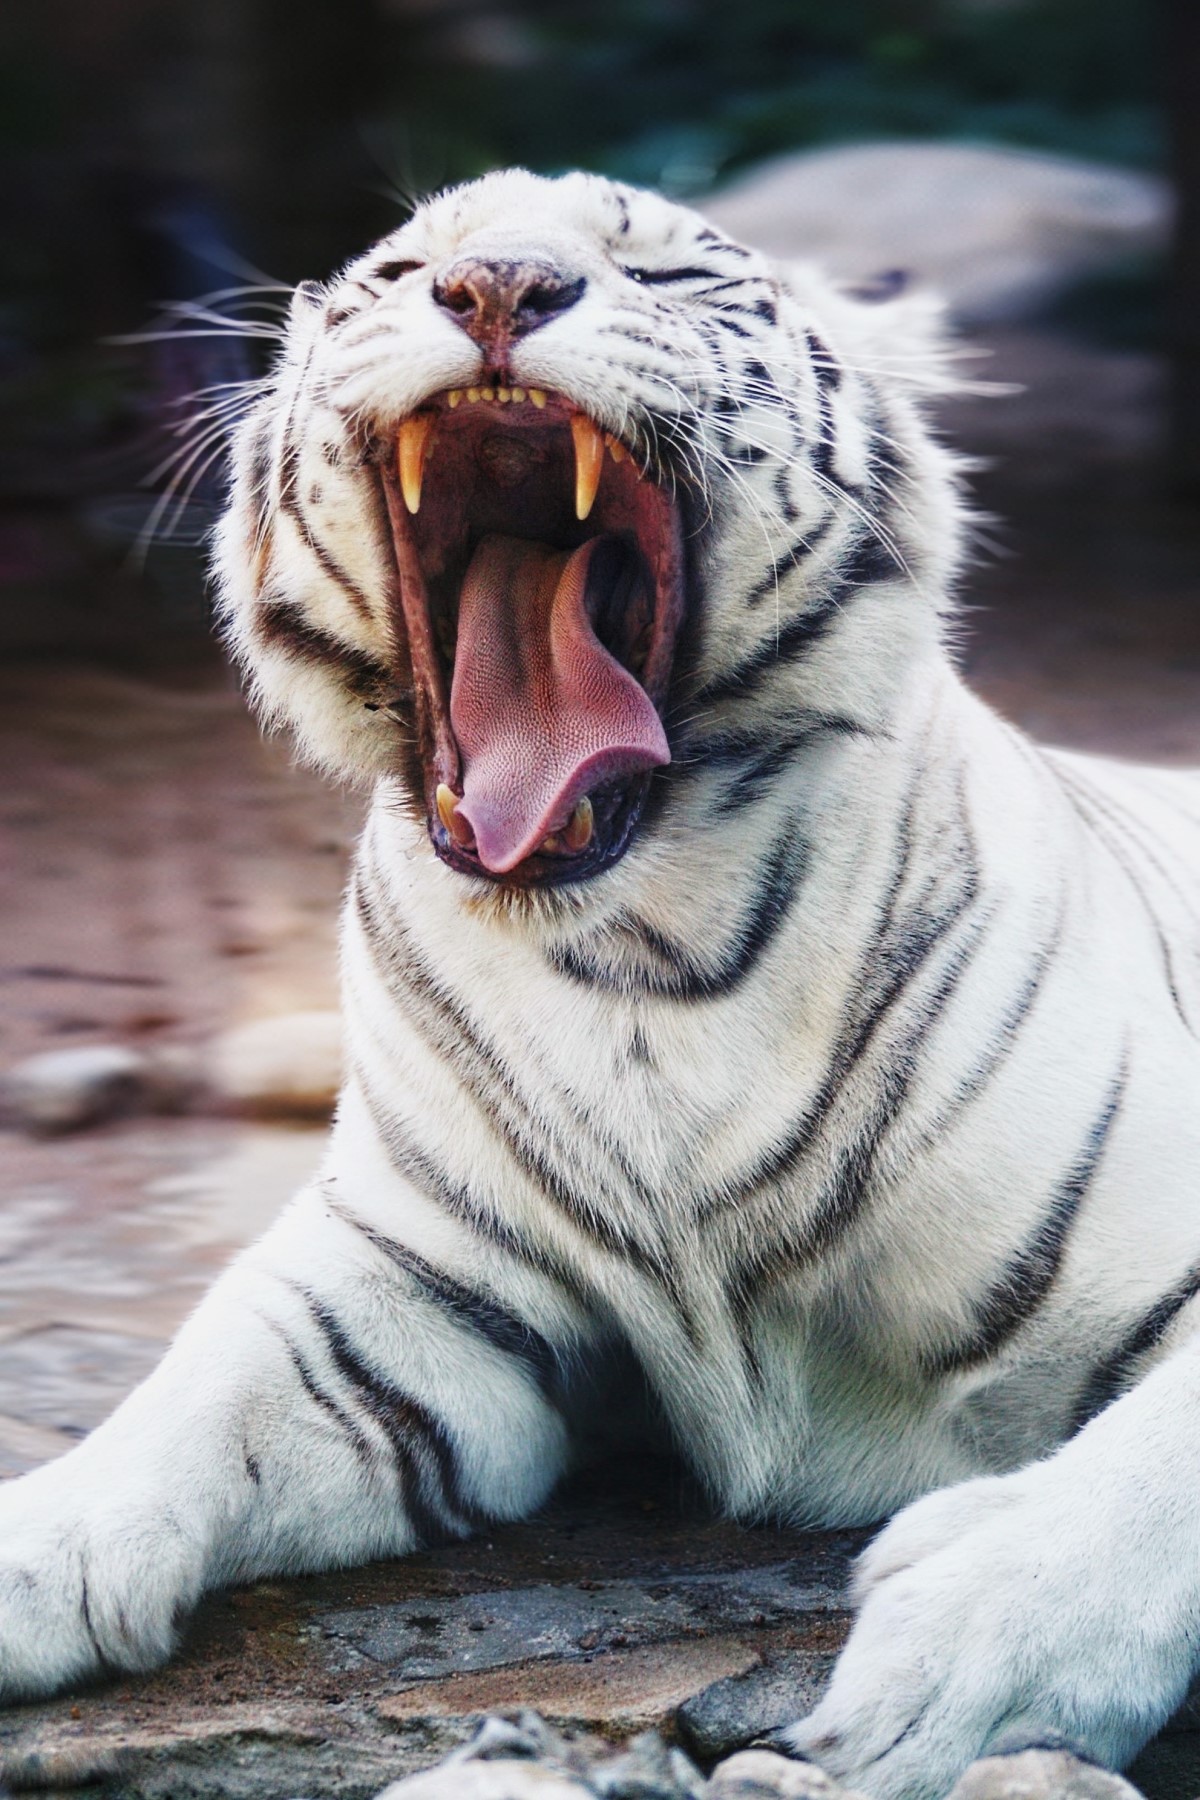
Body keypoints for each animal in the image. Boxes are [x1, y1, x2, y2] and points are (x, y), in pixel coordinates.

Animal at [2, 166, 1199, 1800]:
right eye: (404, 270)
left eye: (671, 271)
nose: (497, 286)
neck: (642, 964)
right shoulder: (413, 1296)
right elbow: (197, 1386)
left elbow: (1159, 1463)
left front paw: (960, 1661)